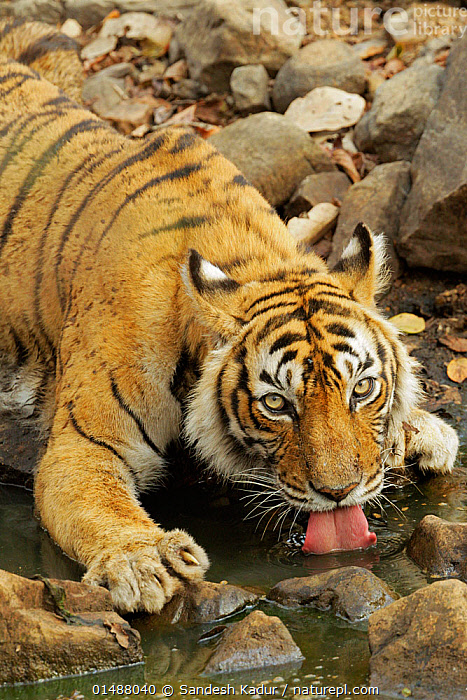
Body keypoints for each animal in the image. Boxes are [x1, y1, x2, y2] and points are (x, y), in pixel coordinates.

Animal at [0, 19, 458, 613]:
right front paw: (144, 559)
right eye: (275, 404)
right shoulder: (83, 447)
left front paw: (421, 433)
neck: (252, 258)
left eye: (362, 389)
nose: (340, 494)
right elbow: (101, 504)